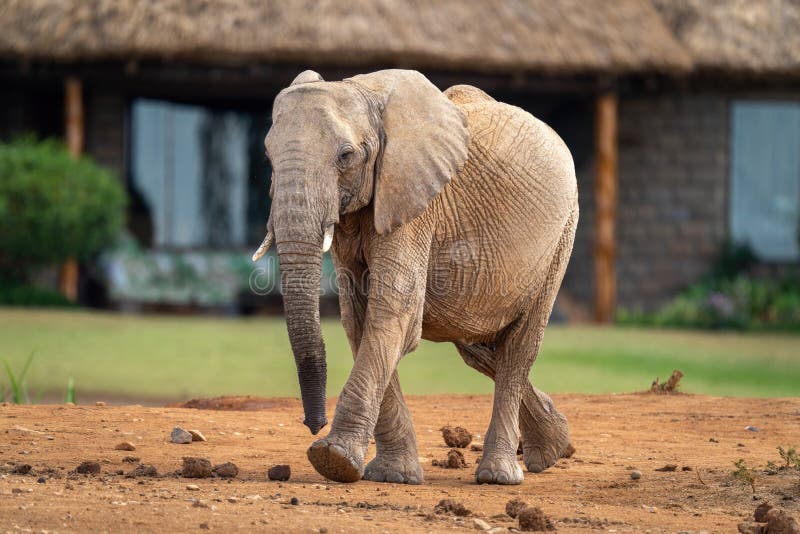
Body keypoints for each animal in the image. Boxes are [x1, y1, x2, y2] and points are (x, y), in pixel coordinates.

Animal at [252, 69, 578, 485]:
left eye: (346, 156)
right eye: (267, 156)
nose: (313, 423)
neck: (363, 91)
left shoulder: (416, 203)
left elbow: (393, 313)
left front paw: (332, 459)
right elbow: (360, 319)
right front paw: (392, 475)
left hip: (561, 236)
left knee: (519, 347)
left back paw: (499, 476)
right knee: (476, 346)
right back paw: (554, 447)